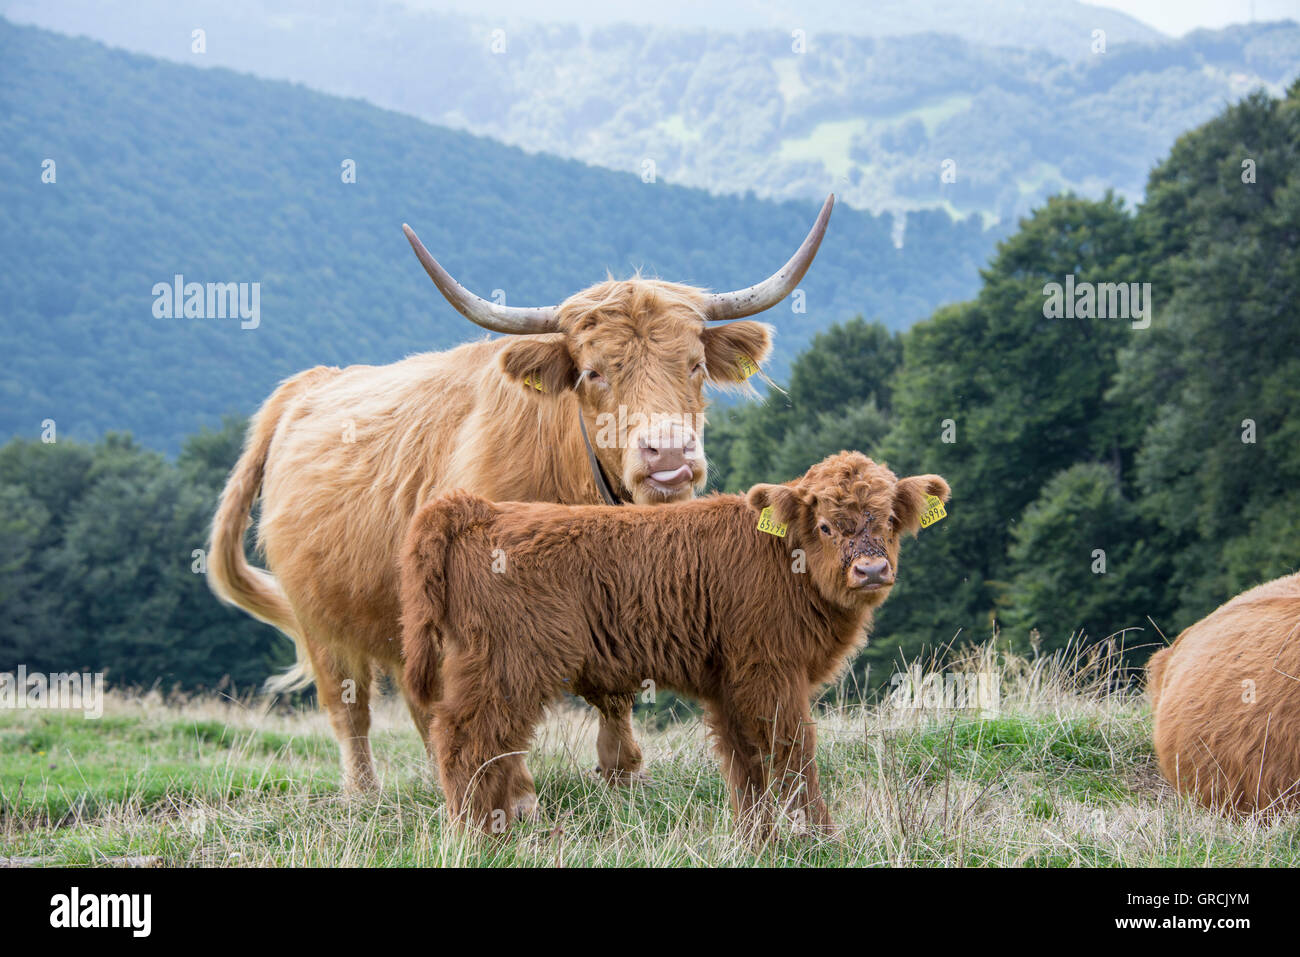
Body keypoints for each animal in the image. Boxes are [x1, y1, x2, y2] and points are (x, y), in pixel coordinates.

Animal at [208, 197, 834, 794]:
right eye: (592, 372)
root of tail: (308, 384)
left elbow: (615, 688)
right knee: (351, 709)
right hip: (320, 621)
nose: (668, 454)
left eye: (696, 364)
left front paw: (624, 772)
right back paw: (366, 793)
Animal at [399, 451, 950, 839]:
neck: (784, 561)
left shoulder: (731, 684)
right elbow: (792, 749)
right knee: (469, 744)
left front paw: (759, 841)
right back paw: (479, 840)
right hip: (509, 668)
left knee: (481, 746)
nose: (871, 571)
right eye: (826, 525)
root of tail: (479, 509)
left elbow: (744, 761)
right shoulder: (770, 671)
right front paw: (821, 838)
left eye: (887, 521)